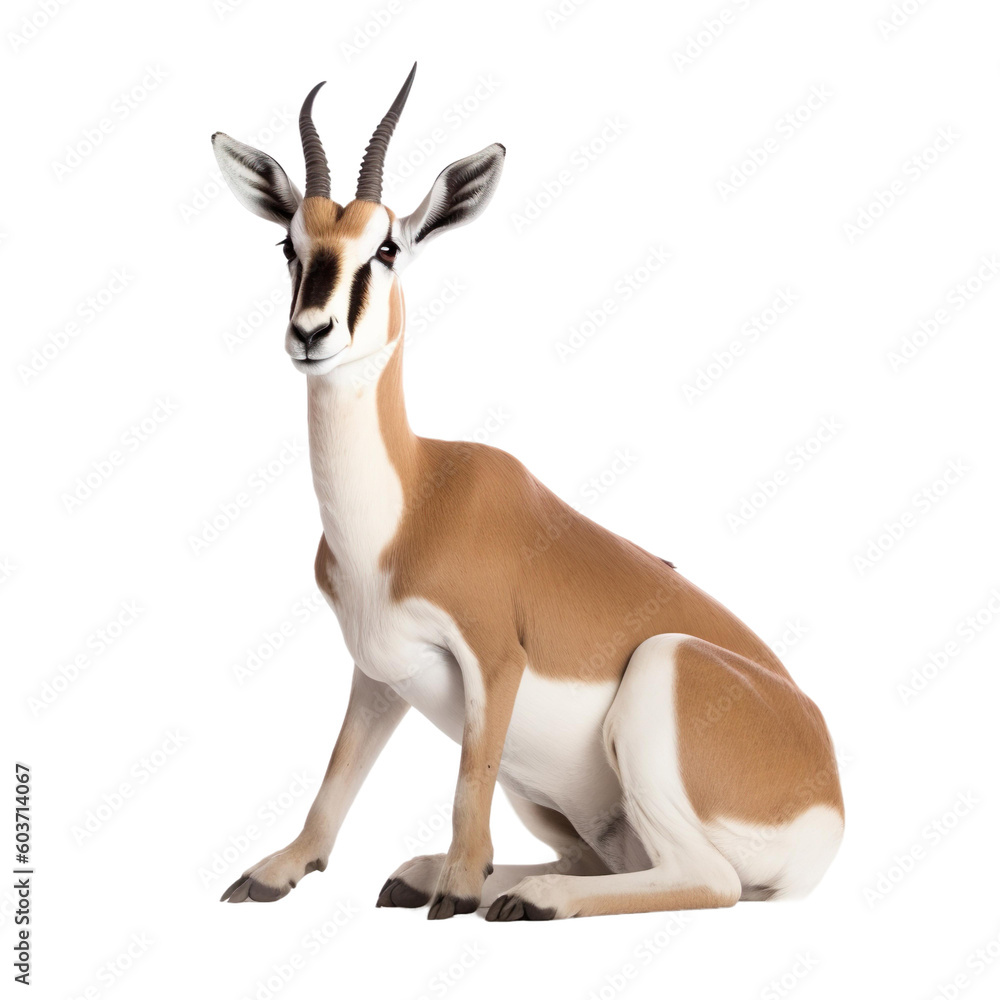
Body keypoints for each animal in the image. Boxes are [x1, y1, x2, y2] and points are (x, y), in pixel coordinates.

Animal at [211, 64, 844, 921]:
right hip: (561, 804)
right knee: (598, 861)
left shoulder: (492, 657)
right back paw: (437, 876)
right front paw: (277, 871)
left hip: (662, 675)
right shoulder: (380, 675)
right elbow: (337, 774)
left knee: (711, 881)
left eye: (386, 246)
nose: (311, 333)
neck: (409, 504)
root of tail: (827, 802)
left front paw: (458, 885)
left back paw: (521, 896)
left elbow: (464, 782)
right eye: (290, 243)